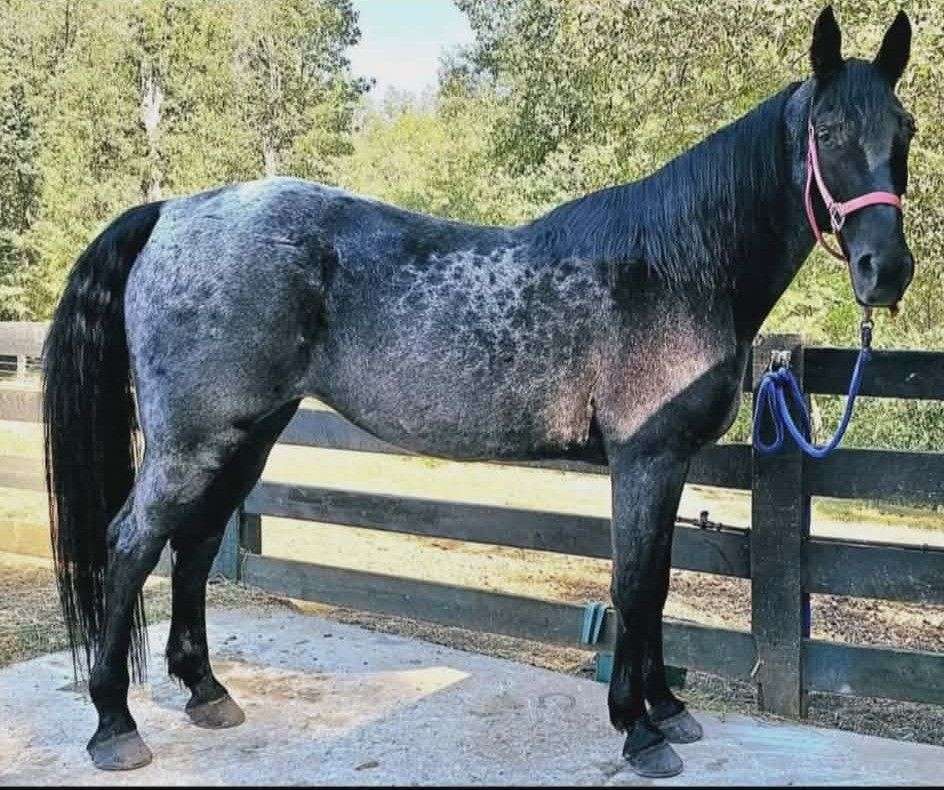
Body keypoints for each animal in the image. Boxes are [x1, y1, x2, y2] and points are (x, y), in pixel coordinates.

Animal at [42, 5, 916, 777]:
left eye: (904, 132)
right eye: (829, 132)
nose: (888, 270)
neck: (675, 266)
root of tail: (174, 212)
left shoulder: (667, 467)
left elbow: (659, 583)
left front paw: (668, 709)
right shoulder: (644, 461)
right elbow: (635, 586)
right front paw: (639, 731)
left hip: (245, 436)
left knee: (192, 544)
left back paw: (207, 692)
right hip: (192, 444)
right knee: (132, 543)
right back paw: (115, 725)